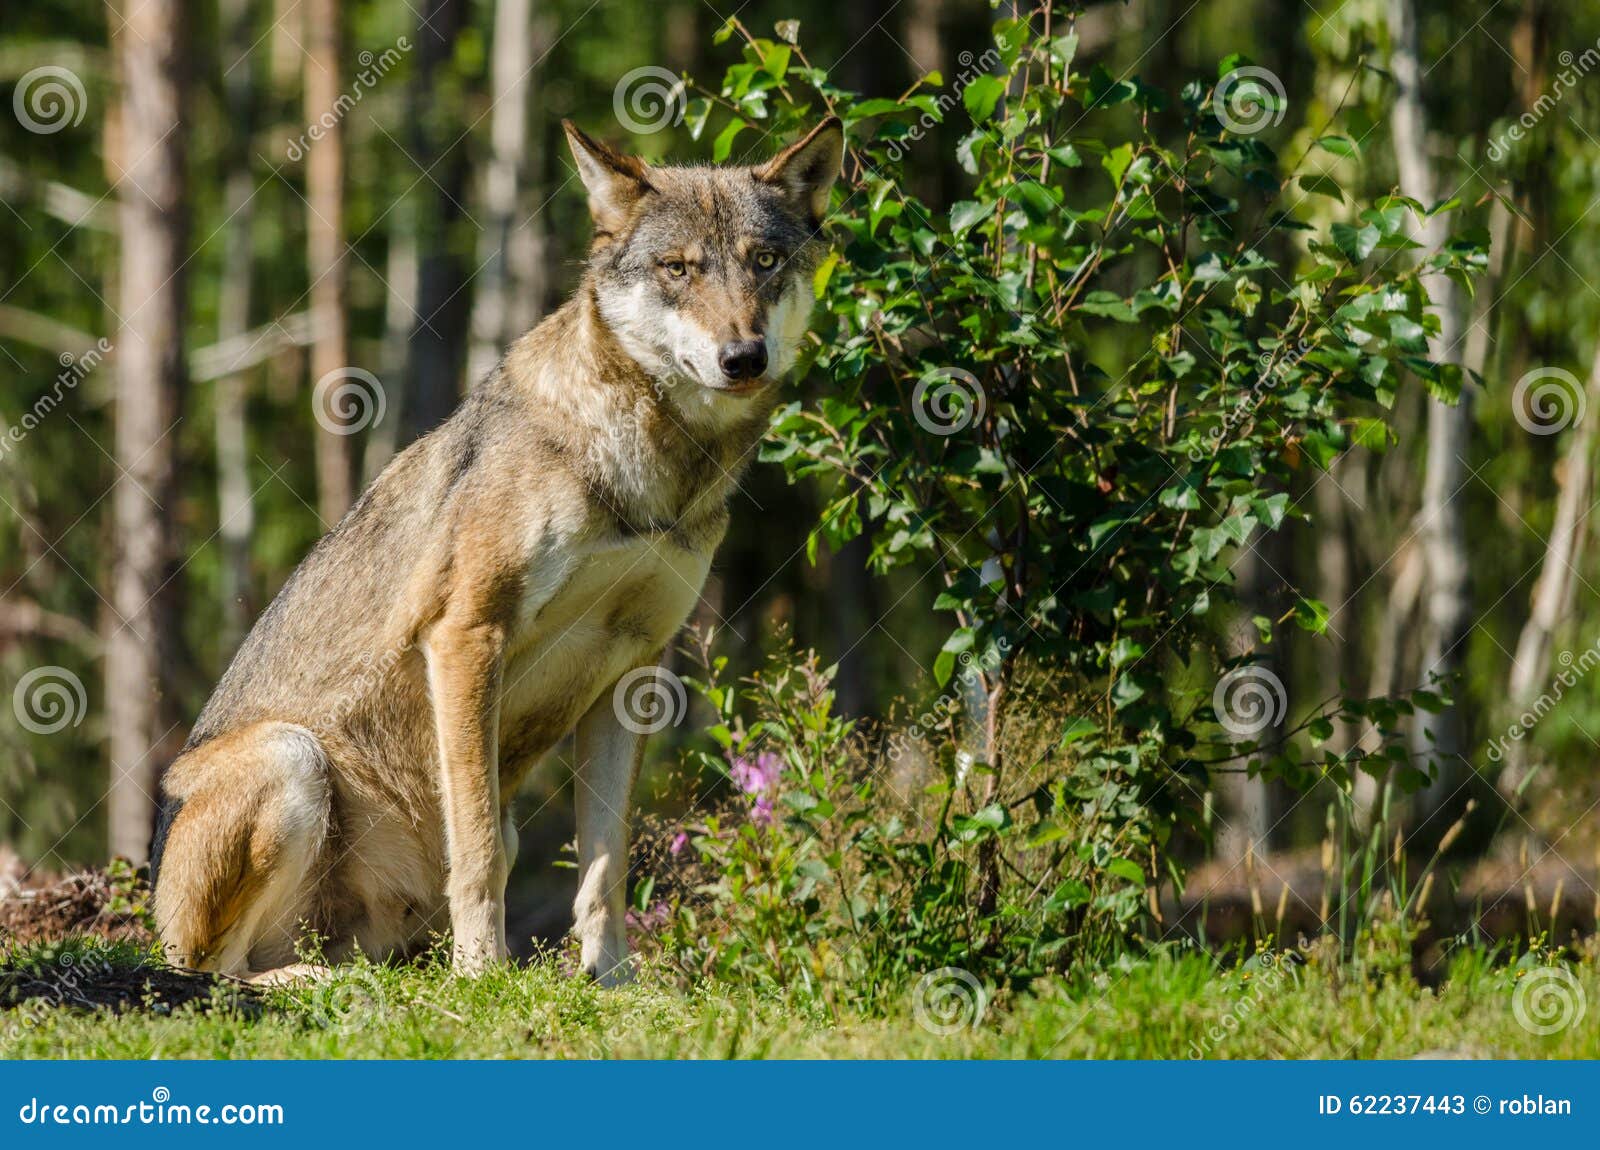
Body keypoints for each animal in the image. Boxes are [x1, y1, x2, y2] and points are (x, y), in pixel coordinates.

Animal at [149, 117, 843, 985]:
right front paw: (483, 971)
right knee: (214, 968)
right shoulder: (467, 635)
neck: (650, 474)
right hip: (291, 755)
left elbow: (606, 864)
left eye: (765, 261)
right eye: (678, 269)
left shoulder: (635, 668)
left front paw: (612, 979)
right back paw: (326, 981)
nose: (743, 358)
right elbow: (478, 851)